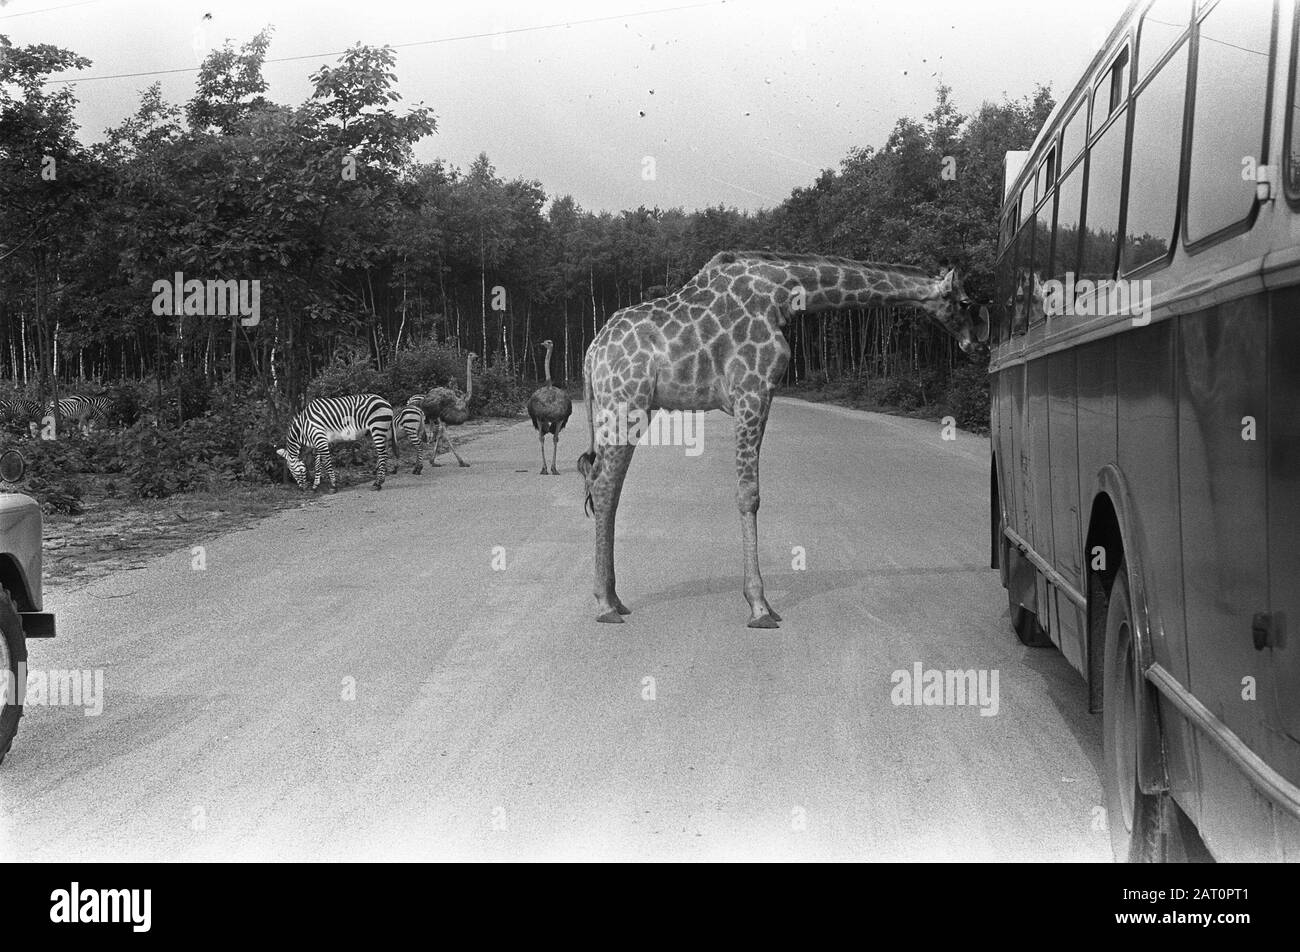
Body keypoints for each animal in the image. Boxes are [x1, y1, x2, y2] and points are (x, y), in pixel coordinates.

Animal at [577, 250, 989, 627]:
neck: (783, 295)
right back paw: (604, 604)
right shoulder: (753, 390)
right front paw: (760, 606)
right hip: (625, 403)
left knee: (604, 484)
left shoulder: (756, 394)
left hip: (624, 409)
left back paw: (615, 599)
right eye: (966, 302)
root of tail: (591, 353)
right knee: (604, 485)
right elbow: (749, 495)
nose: (978, 345)